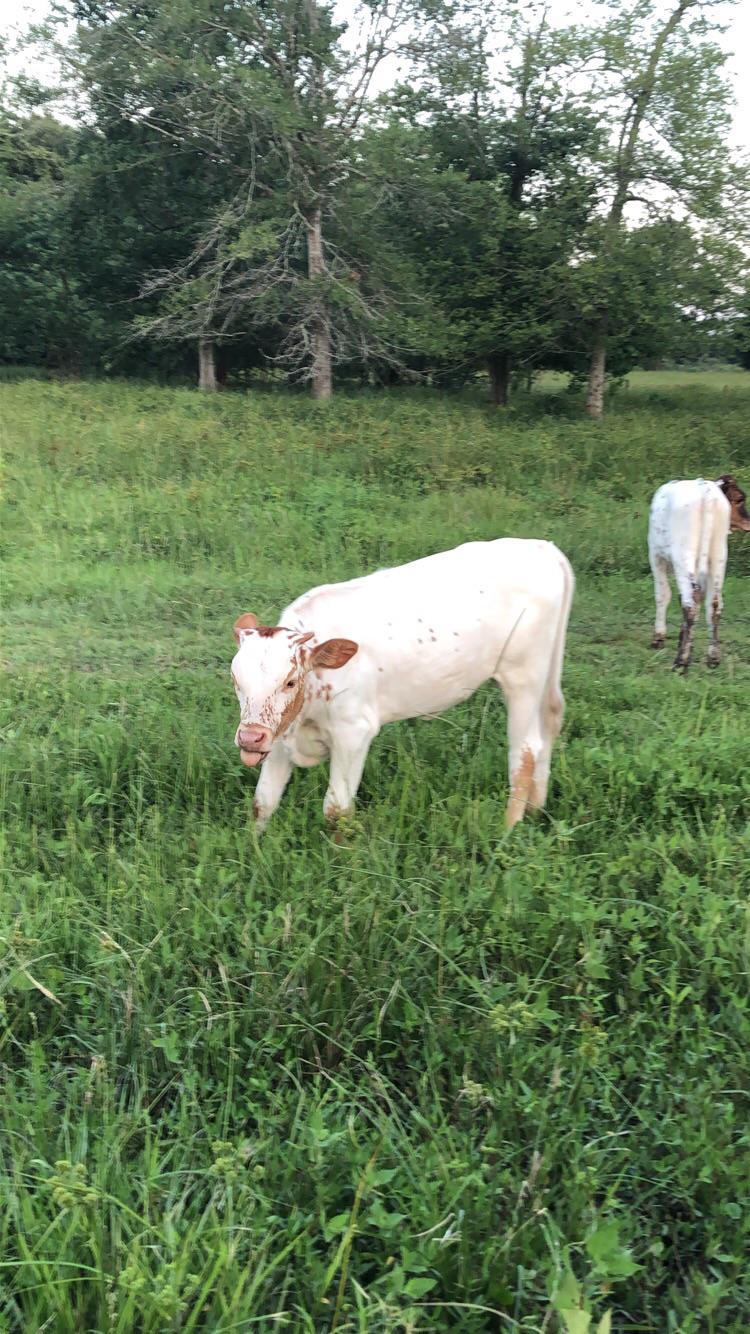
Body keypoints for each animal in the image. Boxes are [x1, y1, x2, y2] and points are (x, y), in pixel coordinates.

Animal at [230, 539, 574, 833]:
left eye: (290, 681)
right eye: (236, 680)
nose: (249, 737)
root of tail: (542, 547)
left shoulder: (354, 732)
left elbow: (337, 811)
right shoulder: (278, 735)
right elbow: (263, 803)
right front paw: (255, 851)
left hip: (523, 676)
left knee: (526, 750)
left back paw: (508, 830)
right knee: (550, 721)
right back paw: (536, 810)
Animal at [648, 474, 750, 672]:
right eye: (739, 499)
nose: (749, 522)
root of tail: (705, 489)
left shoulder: (655, 556)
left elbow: (662, 595)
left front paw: (659, 638)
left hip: (683, 556)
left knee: (691, 601)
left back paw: (681, 662)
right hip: (718, 556)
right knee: (714, 604)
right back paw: (713, 658)